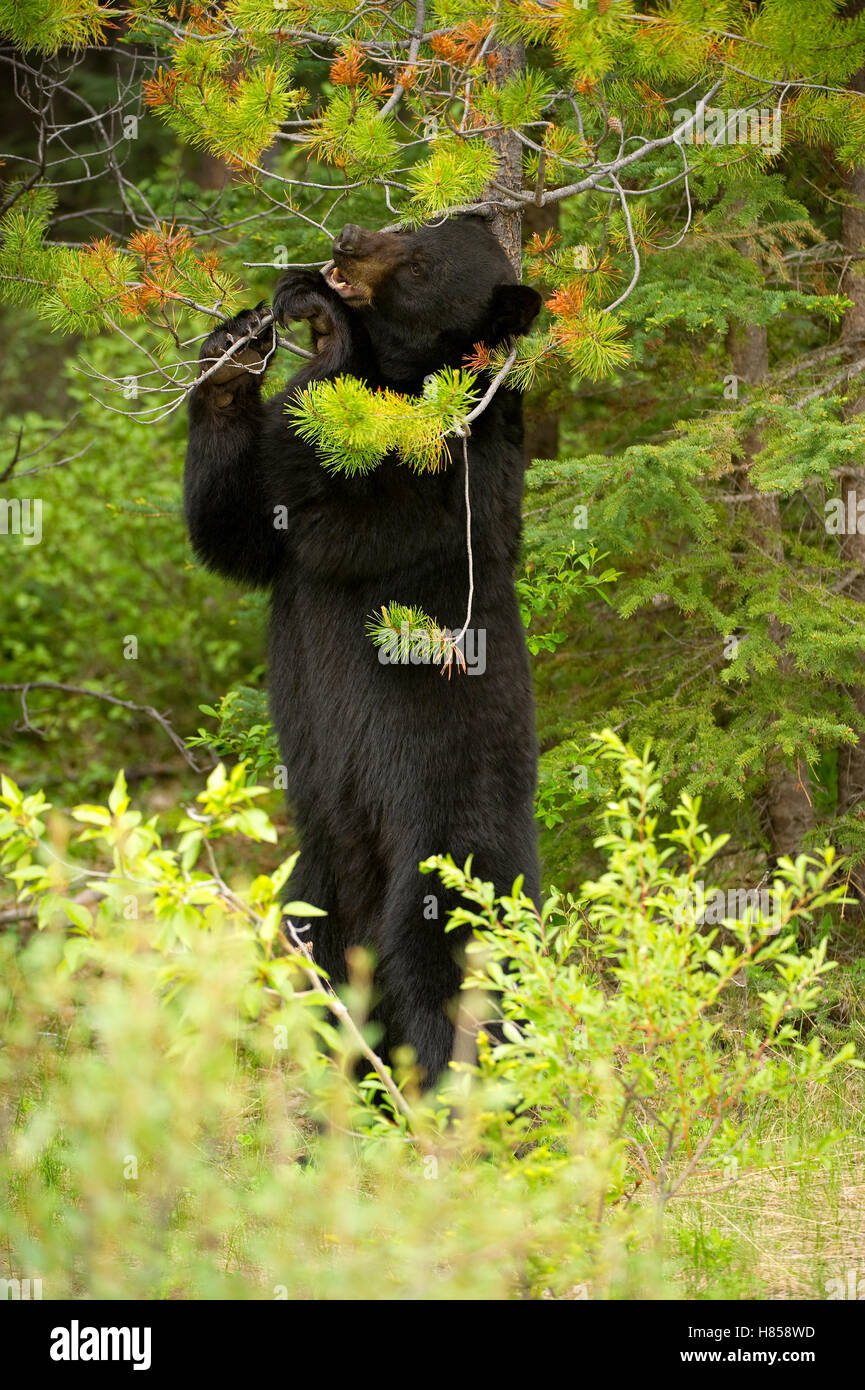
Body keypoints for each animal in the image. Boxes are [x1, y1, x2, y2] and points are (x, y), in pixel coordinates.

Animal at [184, 214, 542, 1085]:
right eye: (417, 221)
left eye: (417, 266)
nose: (346, 240)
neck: (410, 381)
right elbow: (239, 531)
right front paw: (236, 349)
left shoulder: (449, 471)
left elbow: (349, 509)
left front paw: (326, 335)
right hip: (311, 886)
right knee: (320, 974)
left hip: (441, 857)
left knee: (451, 985)